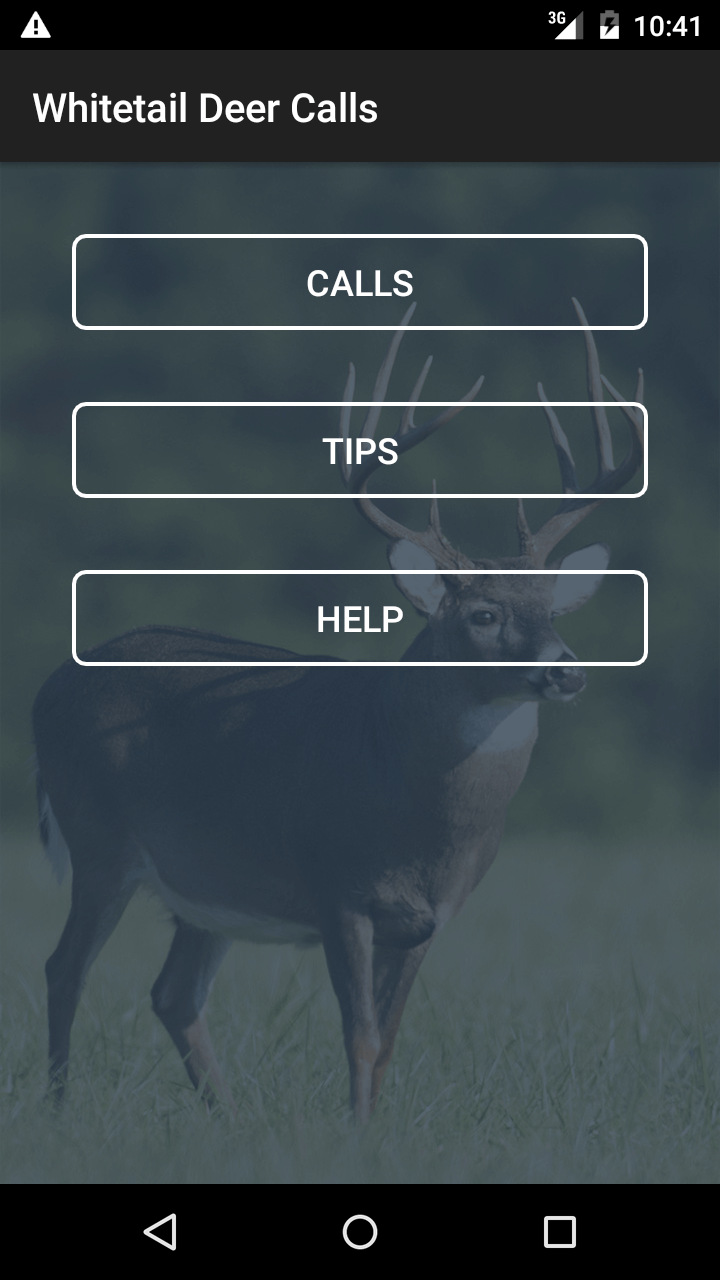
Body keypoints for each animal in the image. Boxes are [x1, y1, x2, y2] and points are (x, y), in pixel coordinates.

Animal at [33, 301, 644, 1122]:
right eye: (483, 613)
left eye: (552, 610)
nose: (567, 670)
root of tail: (51, 685)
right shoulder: (337, 887)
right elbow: (358, 1034)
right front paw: (353, 1133)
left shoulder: (429, 918)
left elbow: (386, 1043)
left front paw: (374, 1129)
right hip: (98, 840)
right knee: (64, 968)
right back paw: (59, 1111)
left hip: (205, 885)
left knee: (173, 994)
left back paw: (230, 1121)